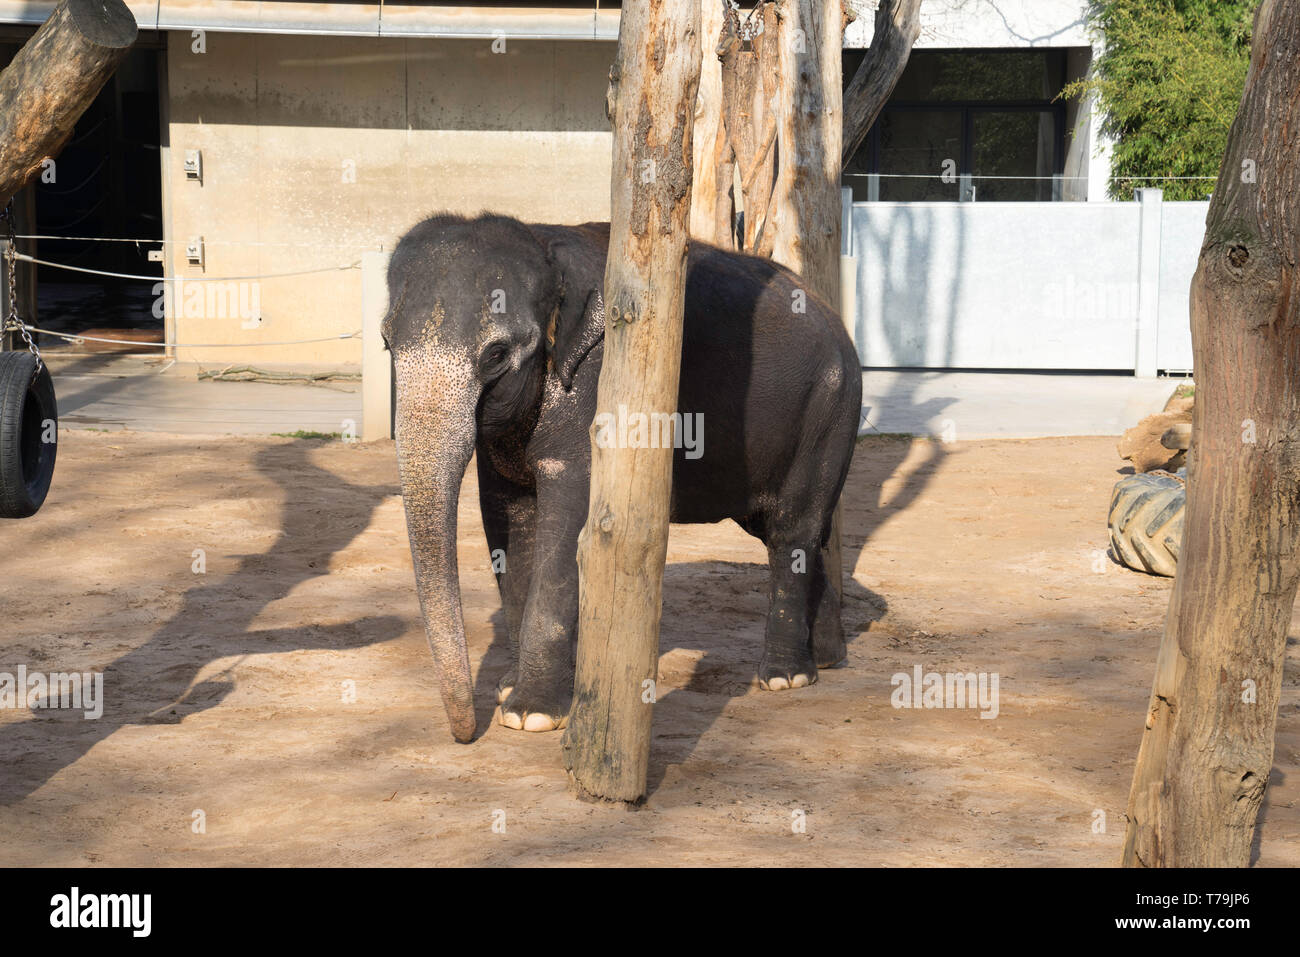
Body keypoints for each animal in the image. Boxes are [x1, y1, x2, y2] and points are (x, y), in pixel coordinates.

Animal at [383, 213, 861, 743]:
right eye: (386, 343)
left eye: (495, 354)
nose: (466, 735)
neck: (542, 239)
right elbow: (508, 518)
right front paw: (509, 691)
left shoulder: (595, 386)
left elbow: (569, 514)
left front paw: (531, 715)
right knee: (797, 531)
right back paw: (828, 659)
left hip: (830, 409)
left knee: (792, 530)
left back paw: (784, 677)